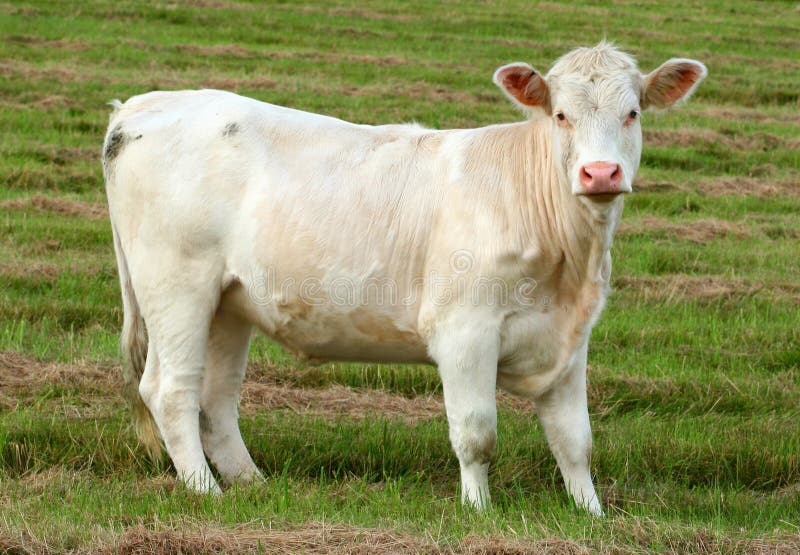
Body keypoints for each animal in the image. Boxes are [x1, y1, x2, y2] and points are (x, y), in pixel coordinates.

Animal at [103, 42, 706, 515]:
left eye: (633, 113)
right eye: (560, 115)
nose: (600, 173)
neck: (567, 264)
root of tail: (143, 104)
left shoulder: (569, 337)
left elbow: (574, 439)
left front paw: (592, 514)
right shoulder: (464, 331)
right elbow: (476, 434)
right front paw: (478, 512)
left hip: (230, 303)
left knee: (217, 398)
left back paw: (252, 484)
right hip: (177, 286)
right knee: (170, 390)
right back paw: (205, 491)